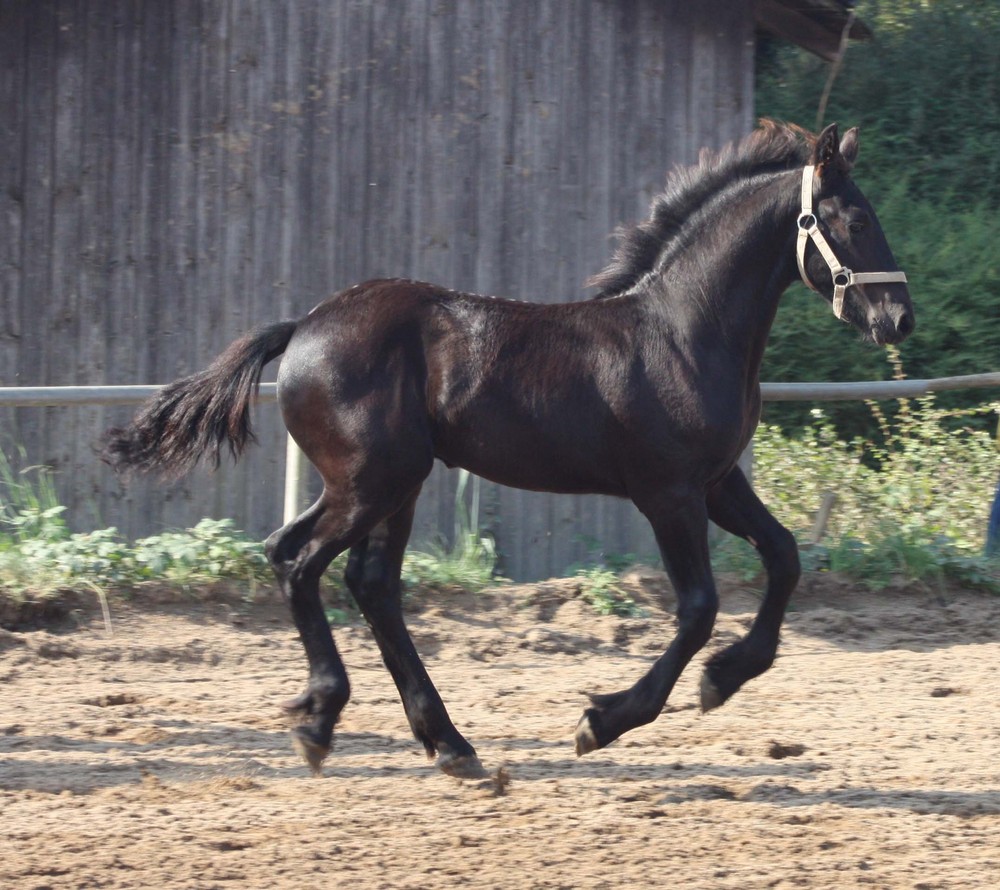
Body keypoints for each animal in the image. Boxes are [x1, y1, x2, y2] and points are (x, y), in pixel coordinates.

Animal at [104, 121, 914, 778]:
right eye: (856, 218)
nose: (900, 319)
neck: (684, 331)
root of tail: (301, 327)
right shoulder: (669, 492)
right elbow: (698, 608)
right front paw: (603, 720)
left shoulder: (717, 483)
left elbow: (785, 557)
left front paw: (725, 677)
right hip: (370, 483)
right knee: (301, 562)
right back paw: (323, 721)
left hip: (391, 486)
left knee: (360, 581)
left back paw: (448, 744)